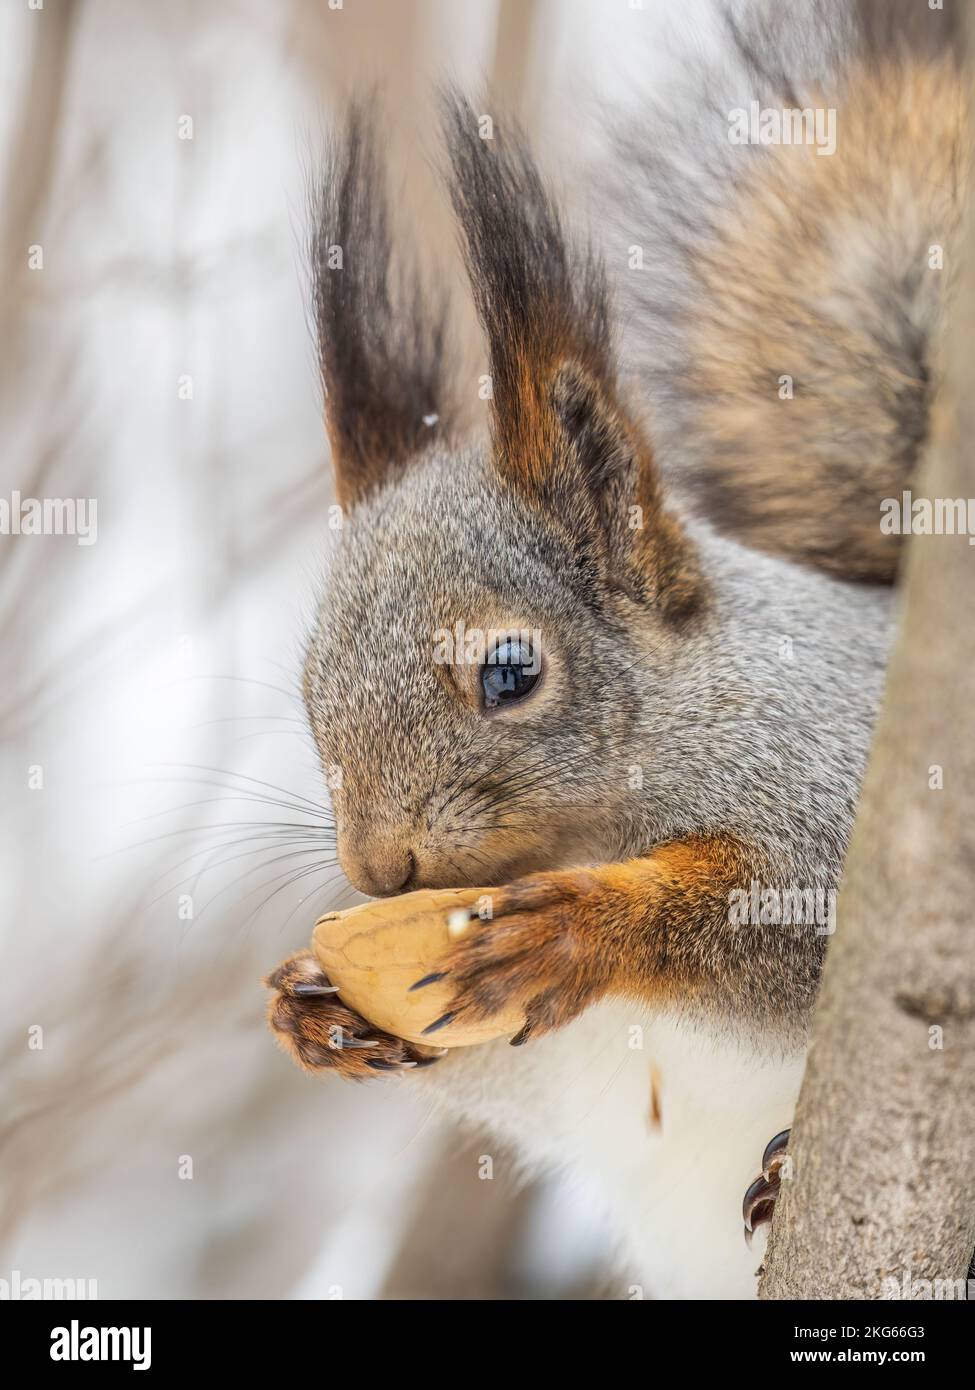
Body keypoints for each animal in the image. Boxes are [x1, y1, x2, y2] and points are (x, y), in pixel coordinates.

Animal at [266, 0, 967, 1298]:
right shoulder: (541, 1057)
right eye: (307, 689)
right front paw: (315, 1006)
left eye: (510, 671)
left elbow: (782, 910)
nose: (378, 870)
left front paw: (578, 929)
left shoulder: (845, 785)